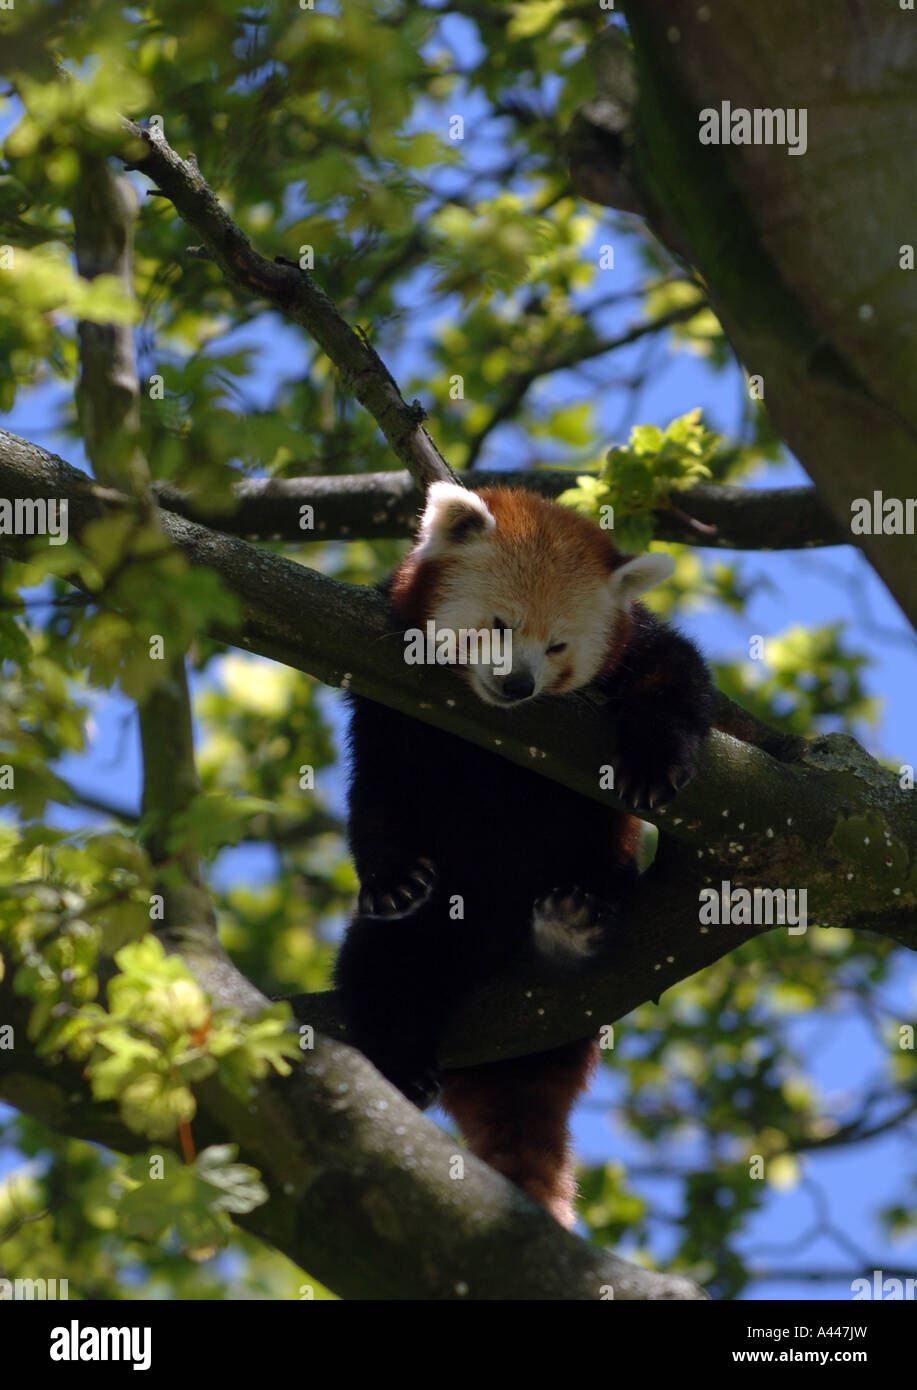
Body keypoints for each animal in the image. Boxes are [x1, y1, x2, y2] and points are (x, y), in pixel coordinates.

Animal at [334, 482, 714, 1227]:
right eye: (499, 625)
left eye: (558, 643)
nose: (517, 685)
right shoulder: (383, 690)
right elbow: (380, 794)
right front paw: (392, 875)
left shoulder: (637, 644)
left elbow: (674, 677)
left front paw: (655, 760)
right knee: (380, 963)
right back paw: (402, 1062)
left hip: (602, 874)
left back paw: (570, 928)